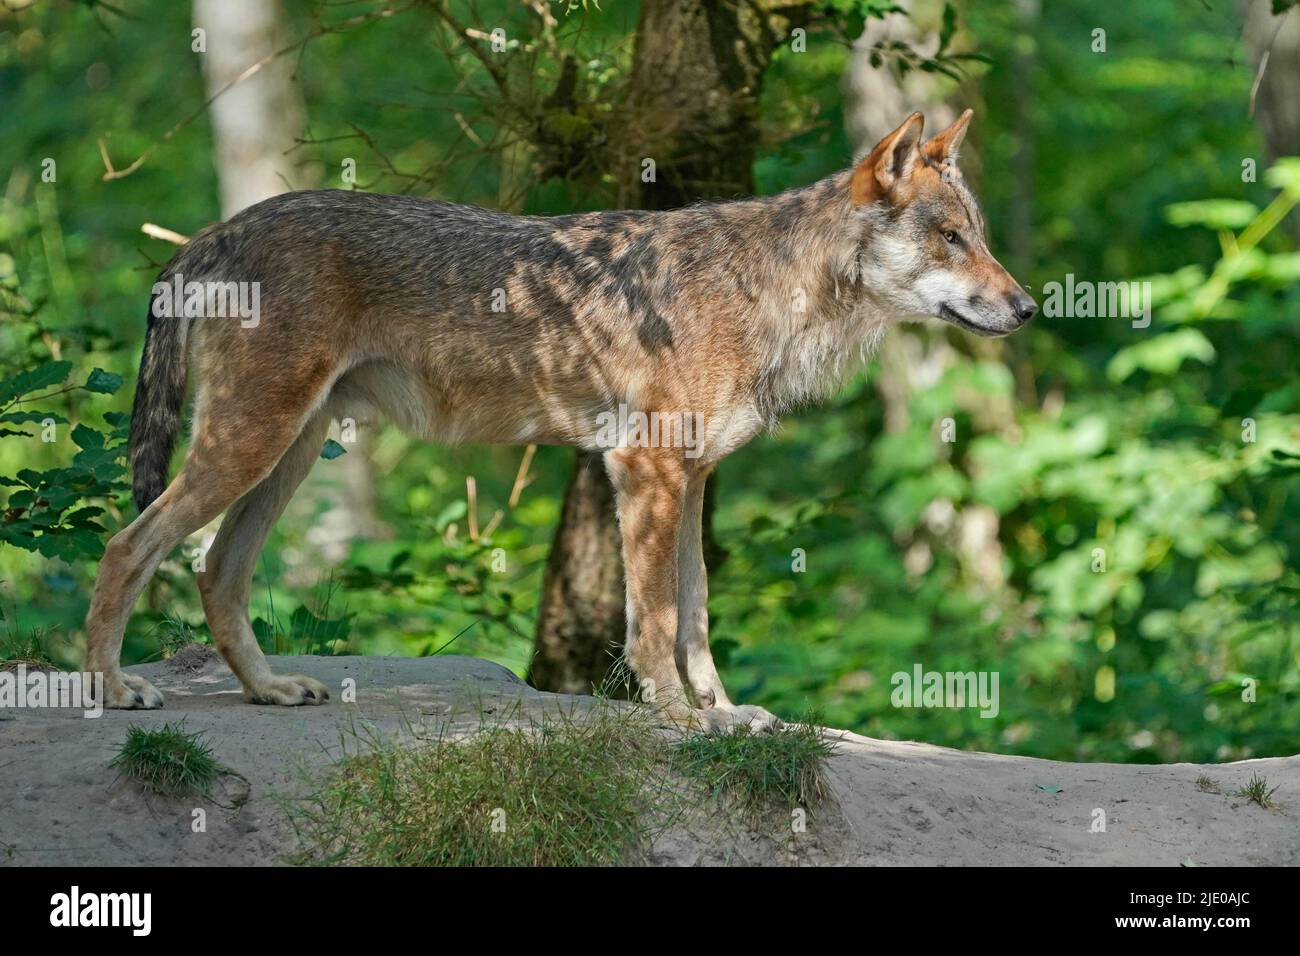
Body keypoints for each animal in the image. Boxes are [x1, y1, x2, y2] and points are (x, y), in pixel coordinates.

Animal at [85, 110, 1035, 732]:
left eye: (980, 236)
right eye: (951, 238)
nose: (1029, 307)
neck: (770, 293)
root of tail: (212, 233)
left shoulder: (692, 483)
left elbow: (697, 621)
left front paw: (726, 714)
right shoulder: (644, 472)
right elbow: (655, 624)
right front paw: (679, 720)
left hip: (287, 452)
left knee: (216, 571)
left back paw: (269, 691)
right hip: (252, 444)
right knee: (128, 547)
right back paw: (112, 690)